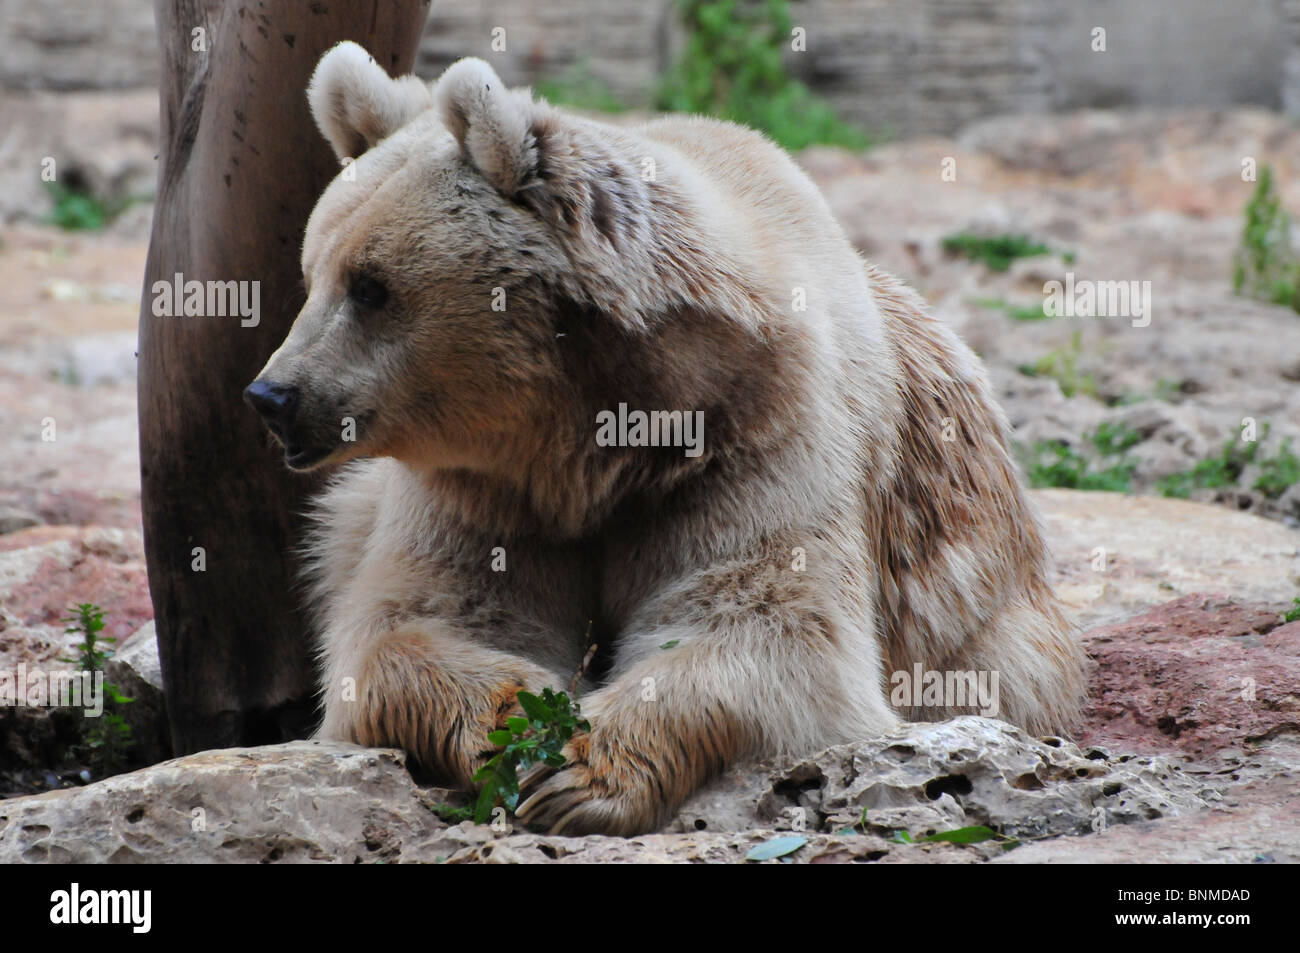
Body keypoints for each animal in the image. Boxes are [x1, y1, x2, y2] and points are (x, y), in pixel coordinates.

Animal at [244, 41, 1087, 836]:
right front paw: (522, 717)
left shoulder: (756, 439)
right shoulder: (483, 484)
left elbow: (768, 630)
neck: (590, 427)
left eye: (371, 285)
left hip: (992, 619)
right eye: (314, 272)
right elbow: (414, 622)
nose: (273, 396)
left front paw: (576, 769)